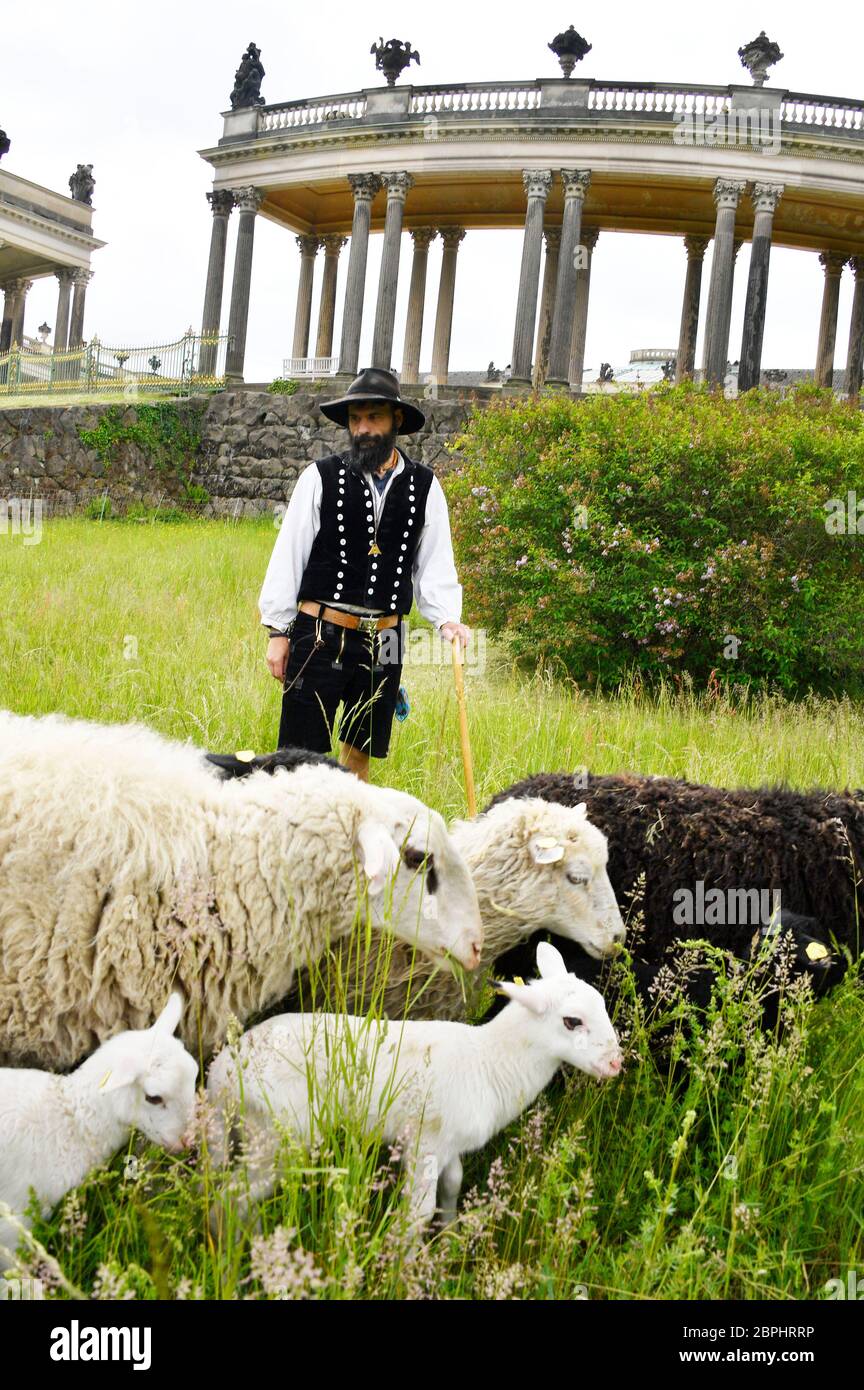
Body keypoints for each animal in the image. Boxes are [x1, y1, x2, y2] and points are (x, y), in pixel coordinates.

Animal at [206, 941, 622, 1234]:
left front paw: (450, 1236)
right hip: (277, 1138)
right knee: (227, 1201)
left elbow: (453, 1185)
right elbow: (417, 1216)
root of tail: (220, 1078)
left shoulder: (450, 1145)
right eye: (572, 1021)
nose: (616, 1064)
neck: (489, 1060)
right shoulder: (424, 1145)